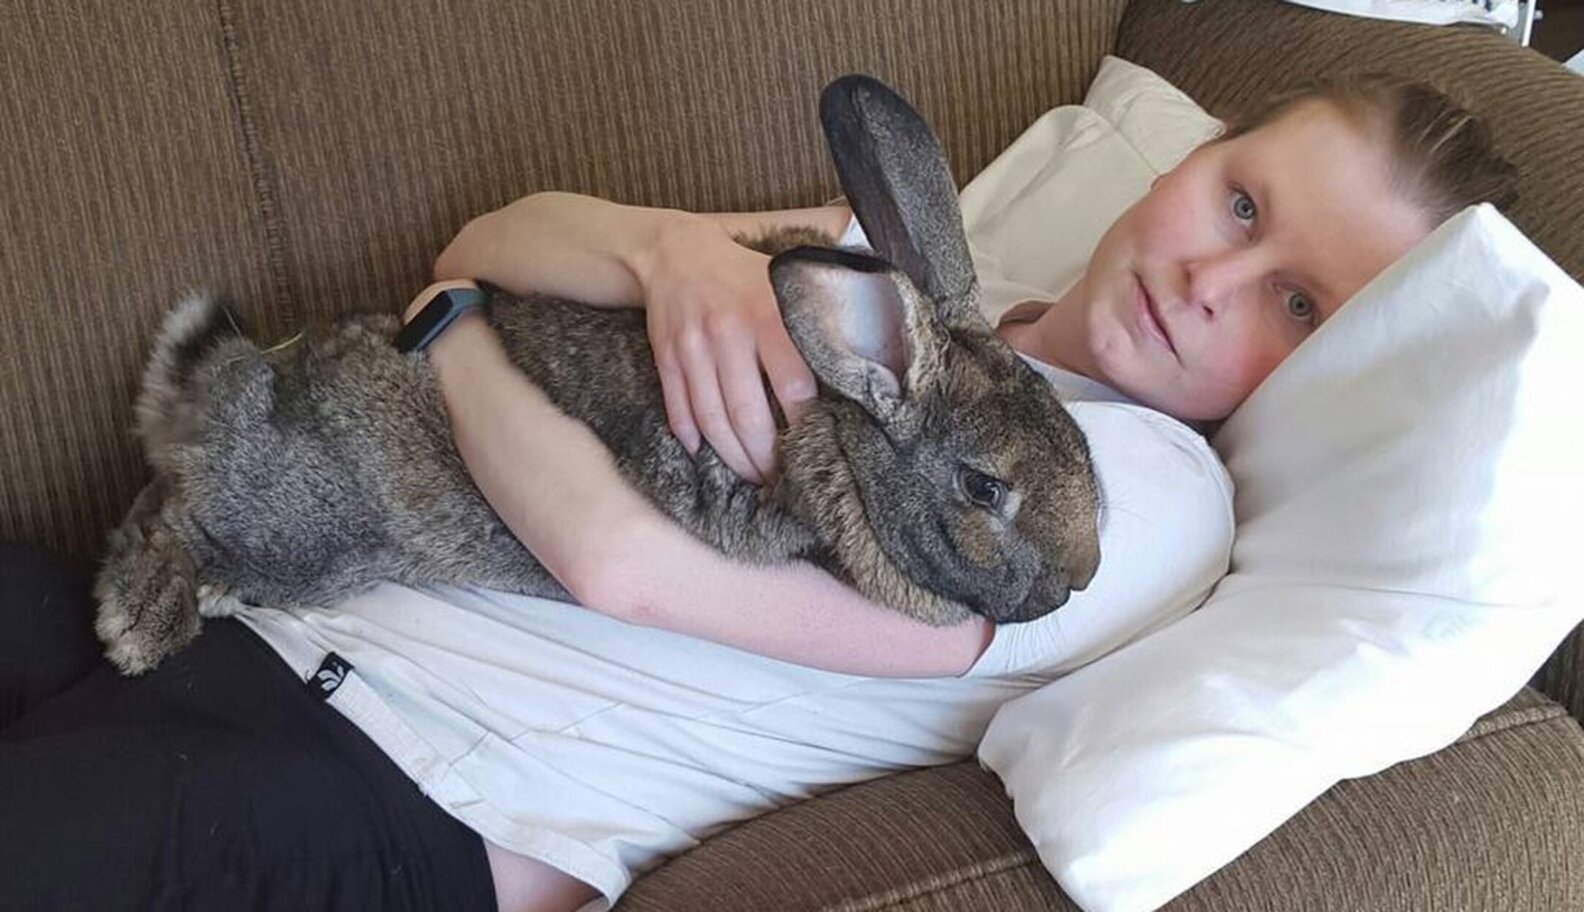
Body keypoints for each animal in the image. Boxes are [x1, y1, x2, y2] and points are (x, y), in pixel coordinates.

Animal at [94, 75, 1102, 675]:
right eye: (984, 488)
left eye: (1085, 450)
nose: (1084, 580)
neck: (850, 438)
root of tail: (219, 388)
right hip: (300, 525)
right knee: (161, 518)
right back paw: (140, 627)